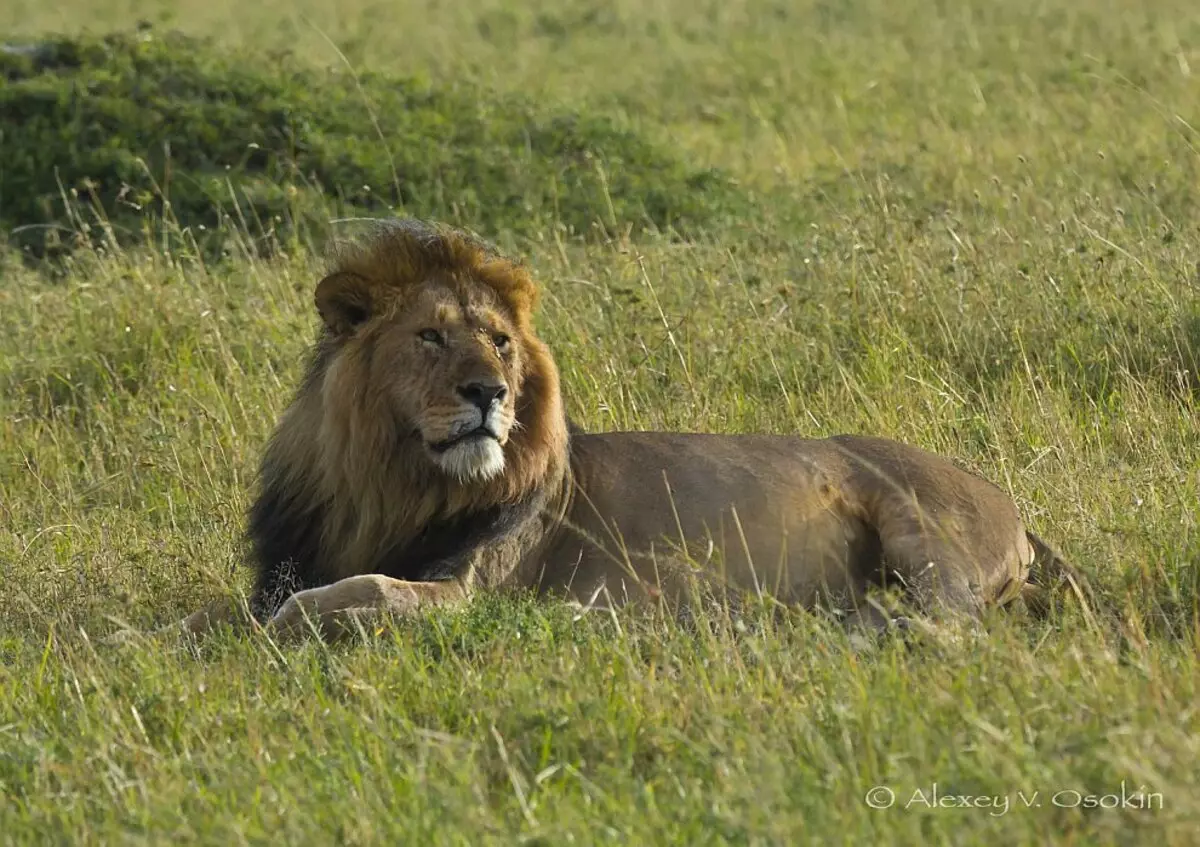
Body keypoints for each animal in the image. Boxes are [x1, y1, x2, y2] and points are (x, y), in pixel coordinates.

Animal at [174, 218, 1084, 638]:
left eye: (499, 341)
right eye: (430, 336)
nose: (489, 392)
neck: (389, 483)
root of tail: (1016, 509)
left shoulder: (471, 594)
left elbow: (355, 591)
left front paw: (275, 632)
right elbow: (220, 611)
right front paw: (171, 633)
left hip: (915, 519)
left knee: (948, 619)